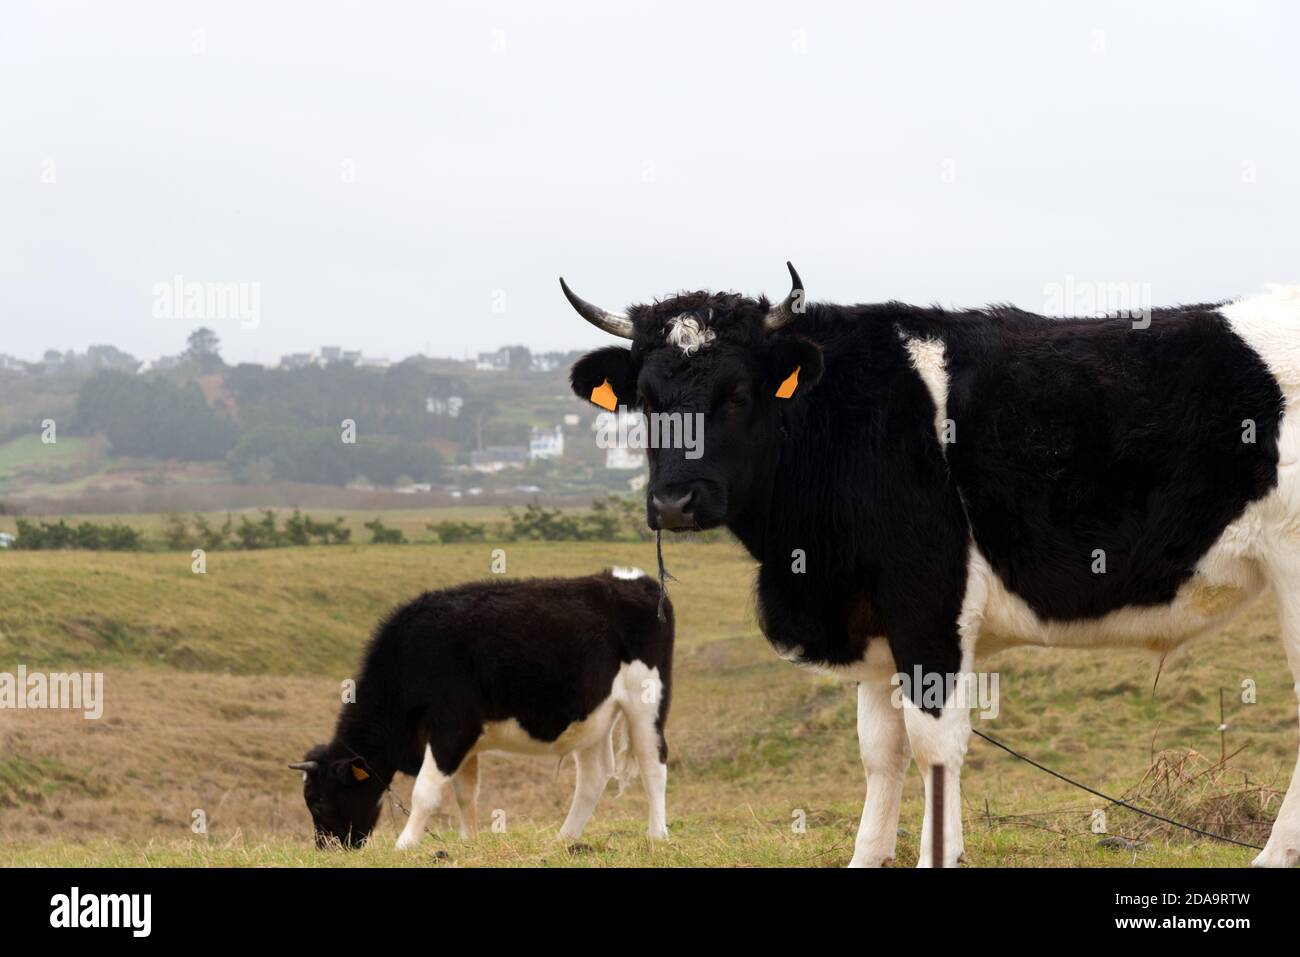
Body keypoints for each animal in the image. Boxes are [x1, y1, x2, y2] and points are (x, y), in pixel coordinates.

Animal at [290, 569, 673, 849]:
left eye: (318, 801)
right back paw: (564, 837)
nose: (327, 849)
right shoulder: (464, 742)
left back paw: (657, 834)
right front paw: (468, 840)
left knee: (652, 763)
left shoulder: (451, 730)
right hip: (593, 718)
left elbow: (425, 793)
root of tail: (631, 579)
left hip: (646, 702)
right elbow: (464, 794)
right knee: (594, 776)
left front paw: (404, 845)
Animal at [563, 265, 1300, 867]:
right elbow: (879, 751)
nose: (675, 501)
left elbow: (934, 745)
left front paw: (938, 855)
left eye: (738, 396)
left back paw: (1273, 855)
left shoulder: (929, 604)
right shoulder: (872, 617)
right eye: (647, 402)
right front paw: (868, 857)